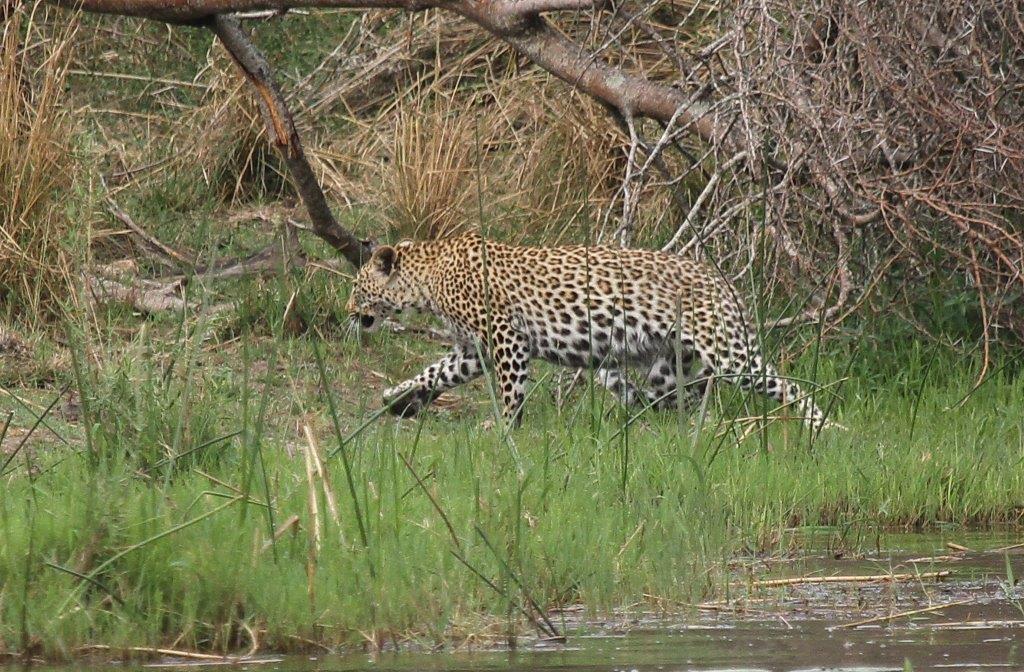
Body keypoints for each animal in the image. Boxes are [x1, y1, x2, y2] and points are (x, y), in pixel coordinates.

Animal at [346, 231, 834, 430]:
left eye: (355, 286)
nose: (348, 312)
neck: (427, 278)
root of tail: (723, 280)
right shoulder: (473, 350)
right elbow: (434, 372)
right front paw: (397, 397)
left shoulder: (506, 338)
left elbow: (509, 391)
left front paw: (505, 430)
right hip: (668, 370)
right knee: (685, 400)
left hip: (731, 354)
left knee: (790, 386)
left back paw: (826, 428)